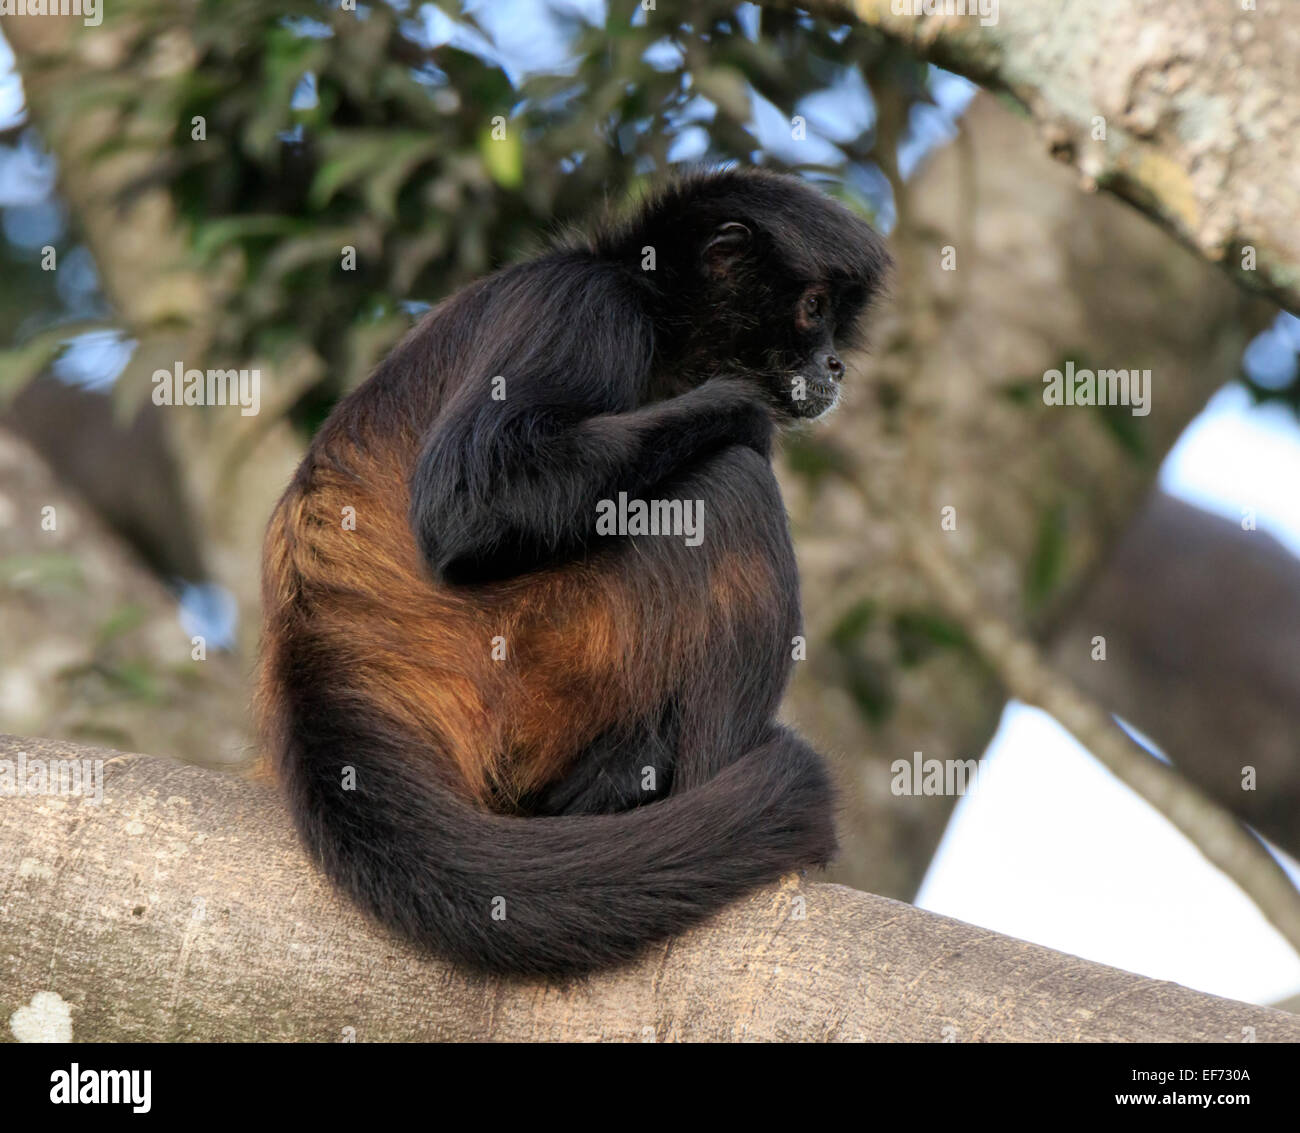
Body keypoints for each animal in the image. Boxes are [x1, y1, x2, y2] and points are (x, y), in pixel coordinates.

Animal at [256, 168, 891, 976]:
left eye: (839, 324)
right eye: (814, 311)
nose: (835, 364)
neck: (650, 306)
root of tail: (319, 648)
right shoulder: (587, 307)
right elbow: (469, 505)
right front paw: (739, 408)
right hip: (534, 656)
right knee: (731, 486)